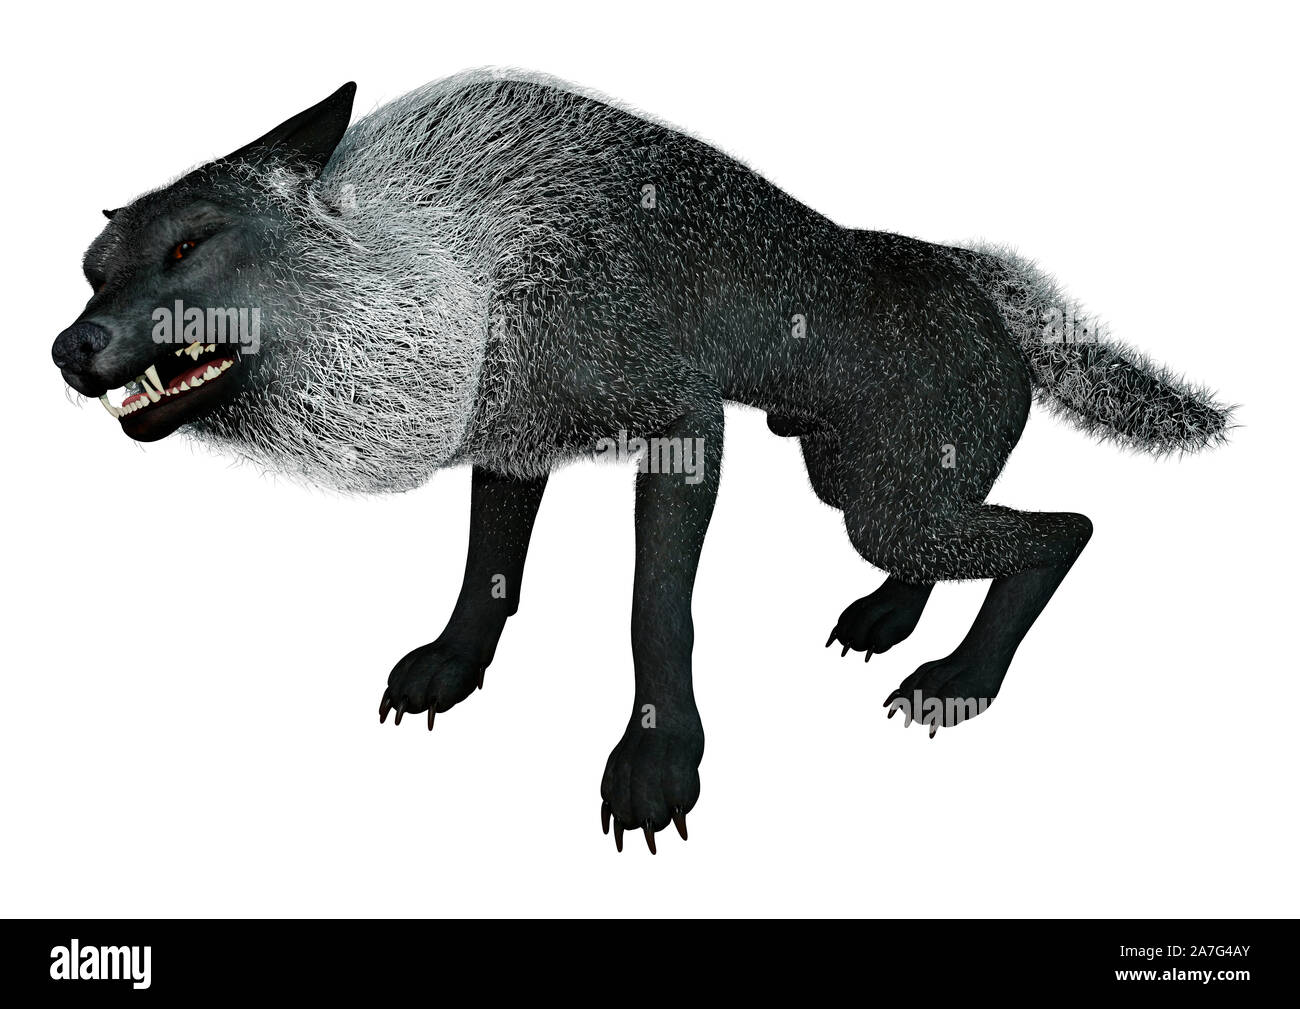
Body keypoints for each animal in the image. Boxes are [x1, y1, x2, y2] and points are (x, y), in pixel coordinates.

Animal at [52, 70, 1233, 852]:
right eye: (91, 270)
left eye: (188, 248)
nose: (68, 348)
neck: (468, 280)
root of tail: (982, 277)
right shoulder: (514, 442)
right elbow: (486, 577)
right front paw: (451, 669)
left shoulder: (684, 434)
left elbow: (652, 612)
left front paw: (658, 770)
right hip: (859, 485)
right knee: (964, 543)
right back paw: (886, 621)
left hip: (882, 500)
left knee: (1063, 533)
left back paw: (957, 681)